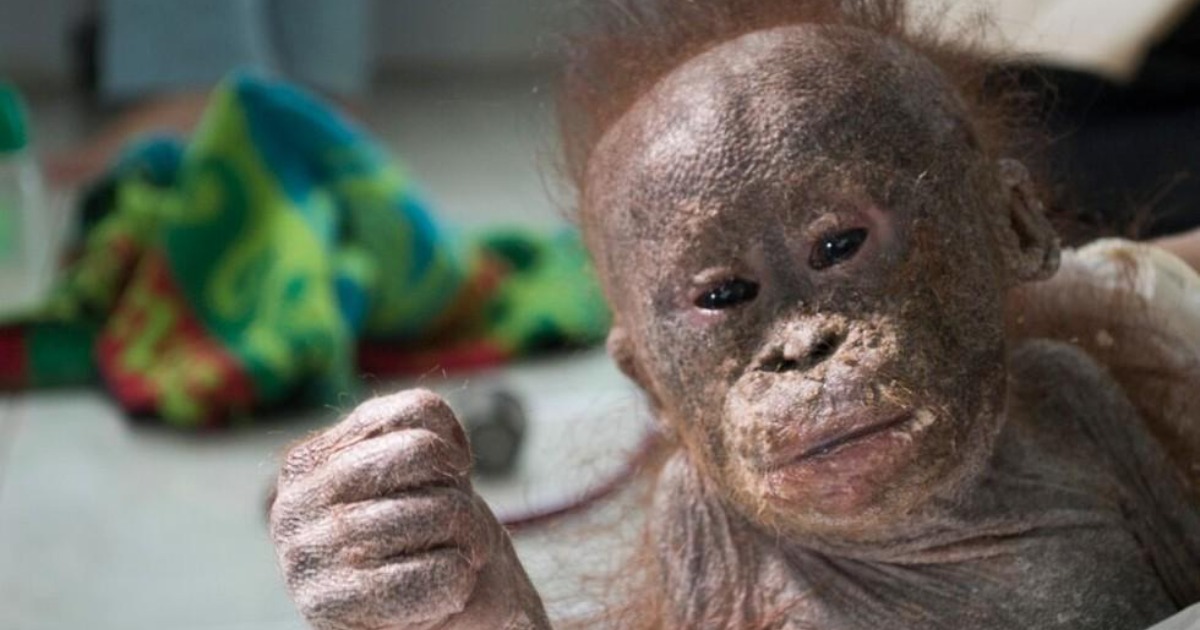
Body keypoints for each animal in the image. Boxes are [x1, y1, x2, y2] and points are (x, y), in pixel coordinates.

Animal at [267, 1, 1200, 628]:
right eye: (722, 296)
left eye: (839, 245)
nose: (803, 351)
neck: (937, 526)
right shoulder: (692, 519)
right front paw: (394, 551)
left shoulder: (1077, 388)